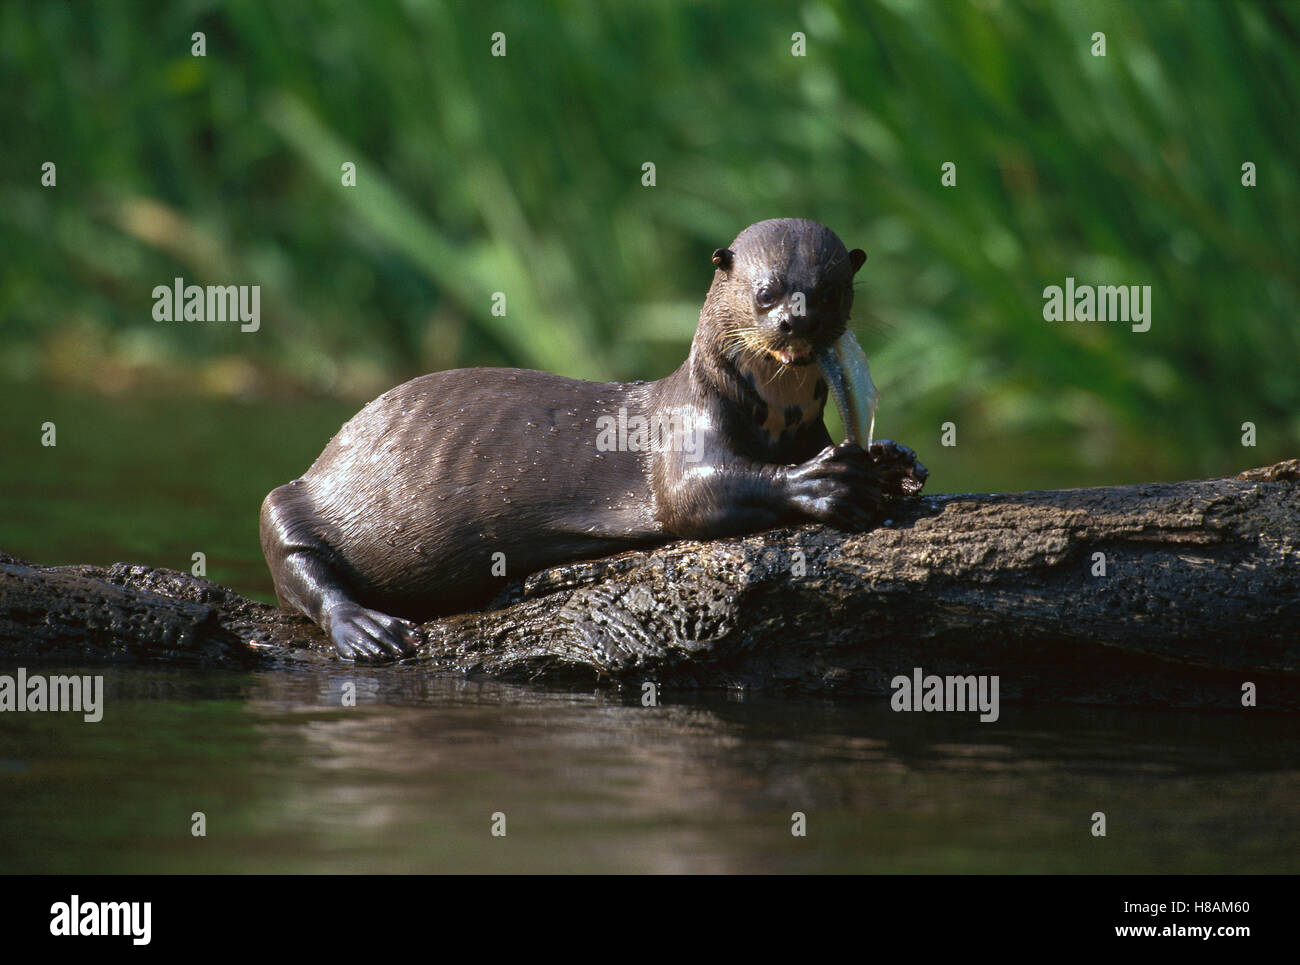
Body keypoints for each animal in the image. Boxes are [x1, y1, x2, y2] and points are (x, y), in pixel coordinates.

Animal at [260, 218, 927, 660]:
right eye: (765, 291)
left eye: (830, 292)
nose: (797, 320)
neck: (775, 417)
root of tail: (322, 464)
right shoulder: (687, 431)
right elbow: (692, 498)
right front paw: (824, 479)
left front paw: (893, 459)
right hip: (291, 503)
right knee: (295, 556)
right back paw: (366, 629)